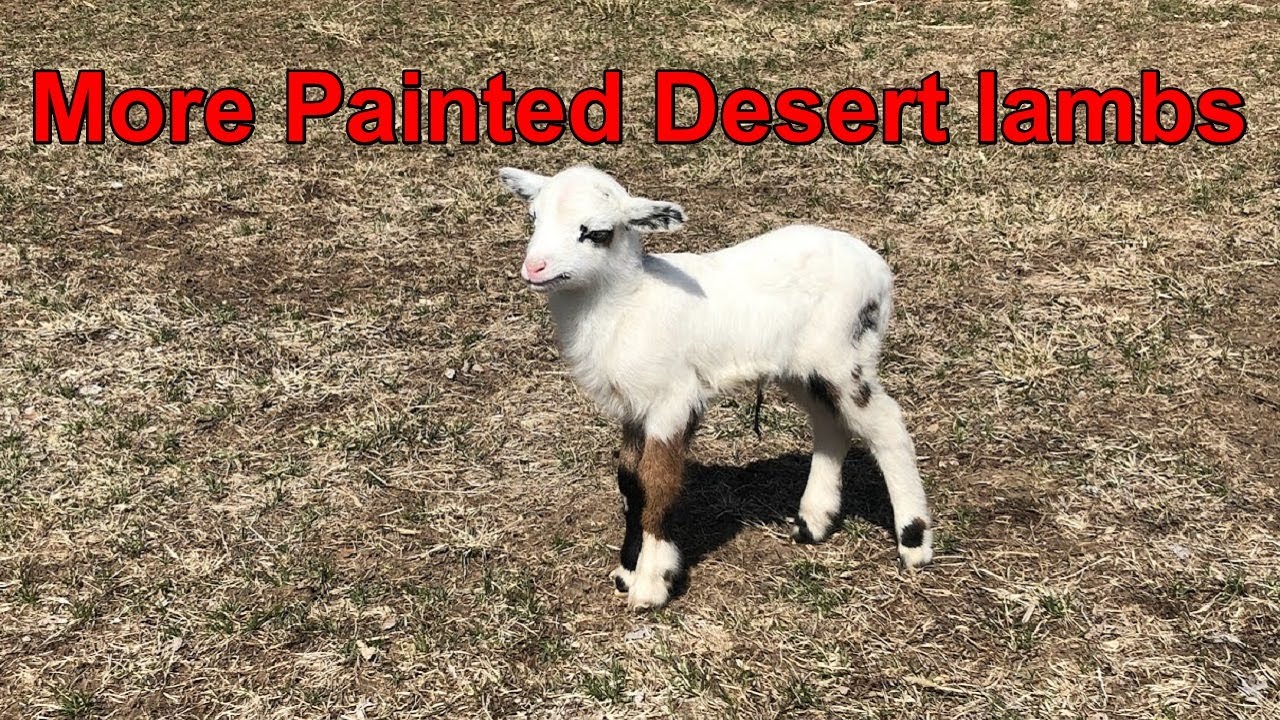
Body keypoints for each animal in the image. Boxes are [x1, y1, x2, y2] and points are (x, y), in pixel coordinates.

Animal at [499, 165, 933, 610]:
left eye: (597, 232)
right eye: (534, 217)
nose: (535, 268)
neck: (627, 304)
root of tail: (879, 269)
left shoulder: (672, 398)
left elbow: (657, 482)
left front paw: (652, 584)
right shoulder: (634, 407)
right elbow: (630, 482)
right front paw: (627, 570)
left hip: (844, 355)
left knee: (887, 425)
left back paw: (914, 542)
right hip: (803, 368)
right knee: (831, 425)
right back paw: (814, 522)